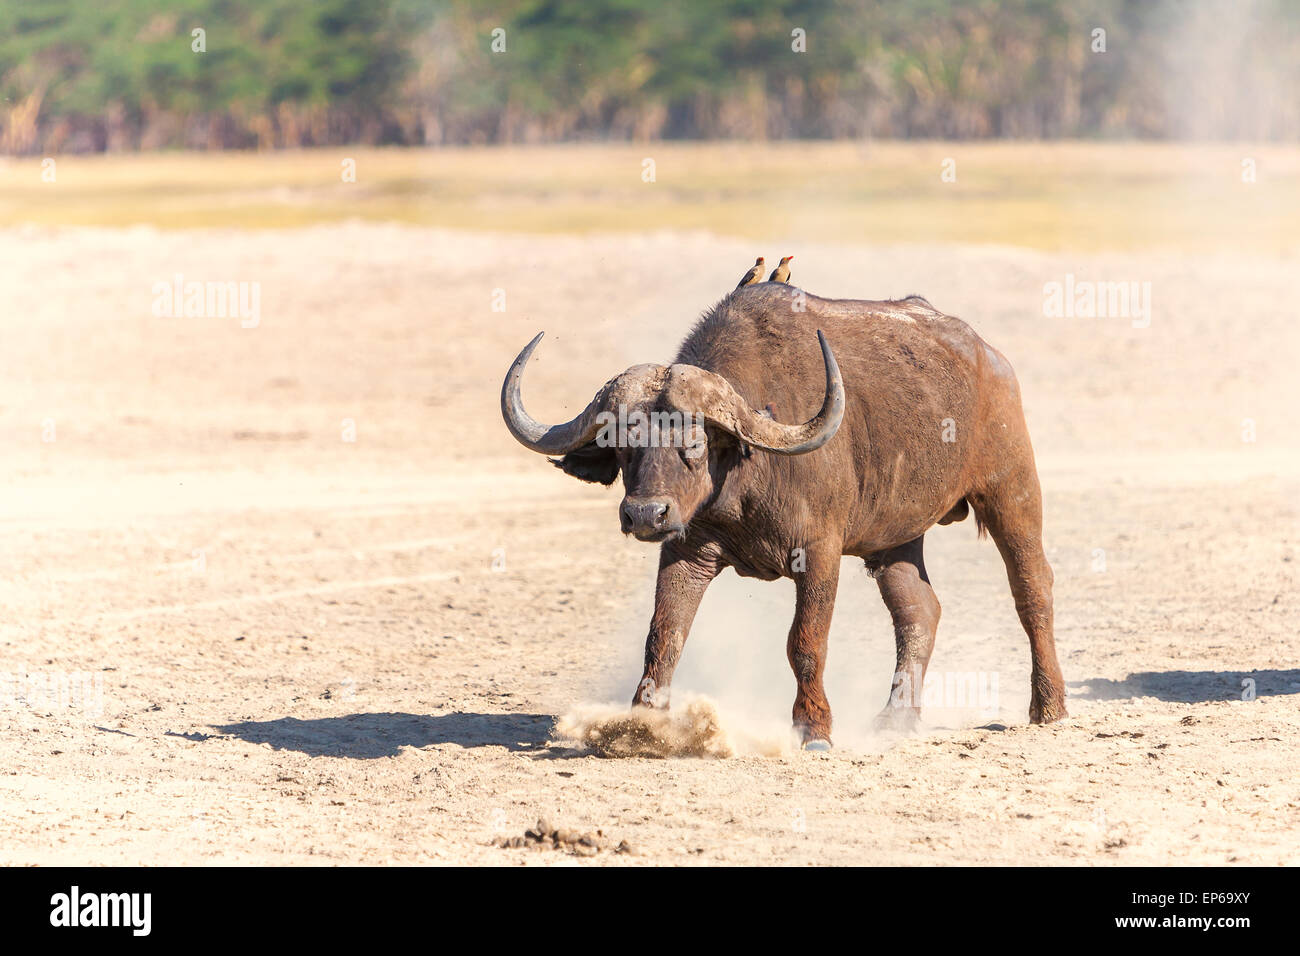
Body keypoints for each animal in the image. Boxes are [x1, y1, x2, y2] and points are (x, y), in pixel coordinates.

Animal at [501, 283, 1066, 746]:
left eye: (693, 443)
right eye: (622, 445)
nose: (644, 514)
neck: (745, 473)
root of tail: (991, 359)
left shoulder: (819, 554)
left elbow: (805, 642)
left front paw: (814, 728)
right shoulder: (686, 551)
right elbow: (664, 635)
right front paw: (641, 725)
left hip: (1011, 490)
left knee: (1032, 589)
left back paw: (1049, 706)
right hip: (894, 539)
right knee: (919, 609)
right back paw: (896, 719)